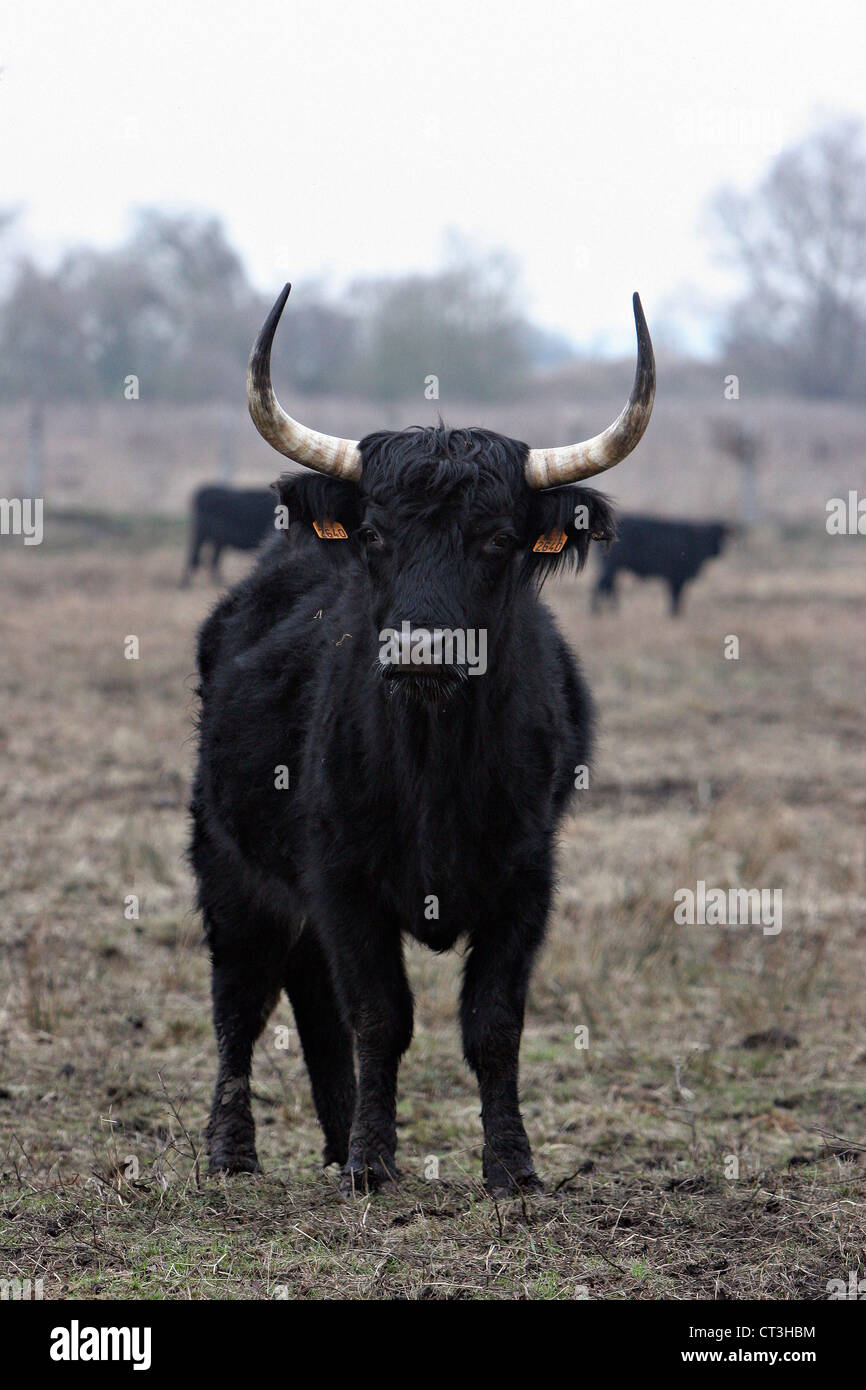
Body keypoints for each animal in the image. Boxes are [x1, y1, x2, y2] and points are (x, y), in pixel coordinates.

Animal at [190, 284, 655, 1196]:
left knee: (309, 1002)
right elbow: (380, 1017)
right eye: (376, 535)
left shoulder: (527, 879)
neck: (435, 765)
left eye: (499, 539)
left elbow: (492, 1022)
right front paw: (373, 1162)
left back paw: (332, 1139)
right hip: (230, 868)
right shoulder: (341, 880)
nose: (423, 653)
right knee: (243, 1000)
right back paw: (235, 1152)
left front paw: (510, 1165)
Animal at [593, 514, 730, 615]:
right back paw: (599, 611)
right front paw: (674, 614)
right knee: (602, 585)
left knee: (609, 586)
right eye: (708, 536)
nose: (719, 551)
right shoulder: (676, 577)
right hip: (611, 567)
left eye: (722, 536)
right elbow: (675, 597)